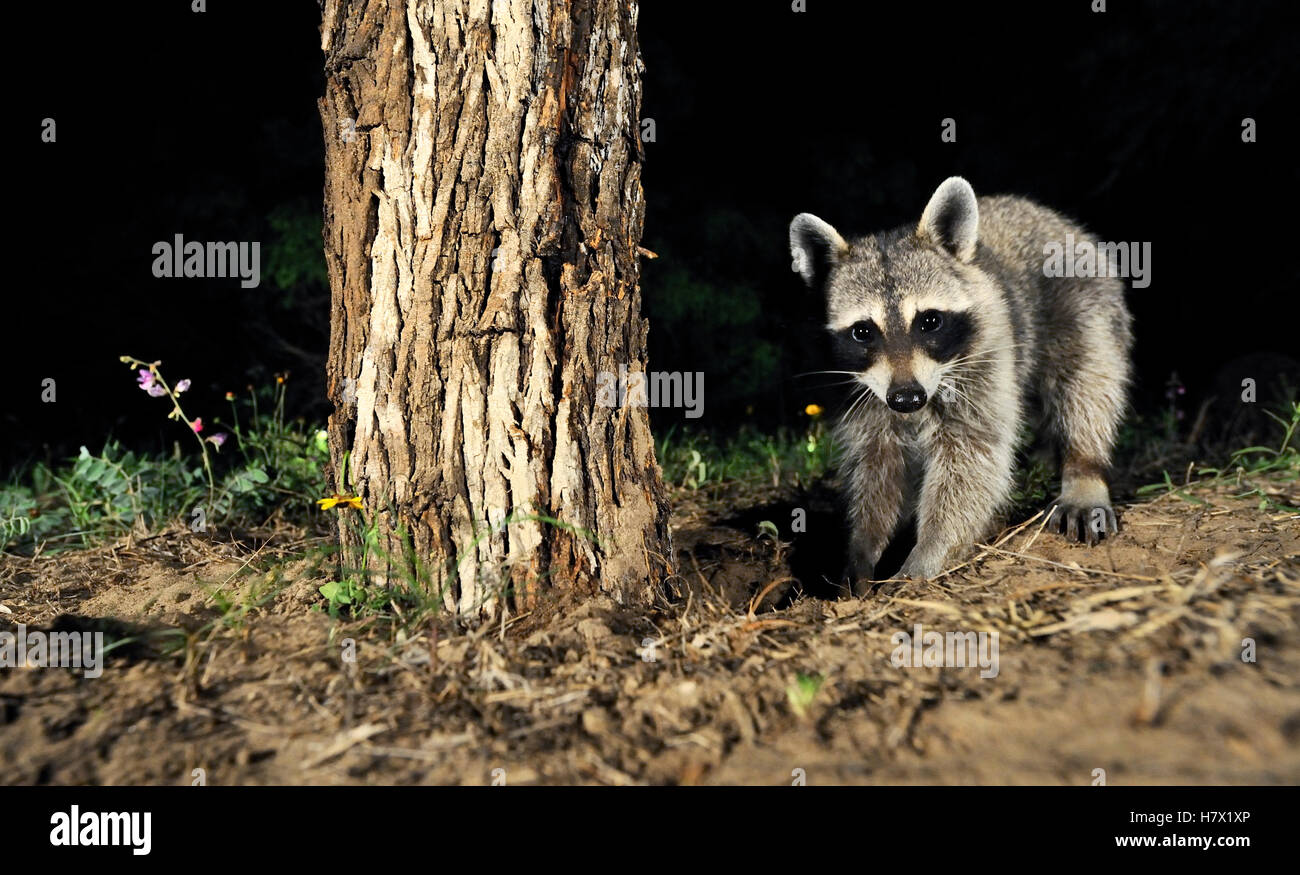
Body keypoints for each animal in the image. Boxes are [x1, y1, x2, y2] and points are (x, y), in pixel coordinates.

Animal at [790, 177, 1133, 592]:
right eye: (862, 332)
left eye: (929, 321)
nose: (907, 398)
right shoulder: (858, 392)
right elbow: (876, 465)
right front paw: (863, 546)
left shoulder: (986, 359)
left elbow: (971, 462)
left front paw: (926, 556)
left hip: (1082, 296)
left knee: (1088, 378)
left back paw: (1084, 469)